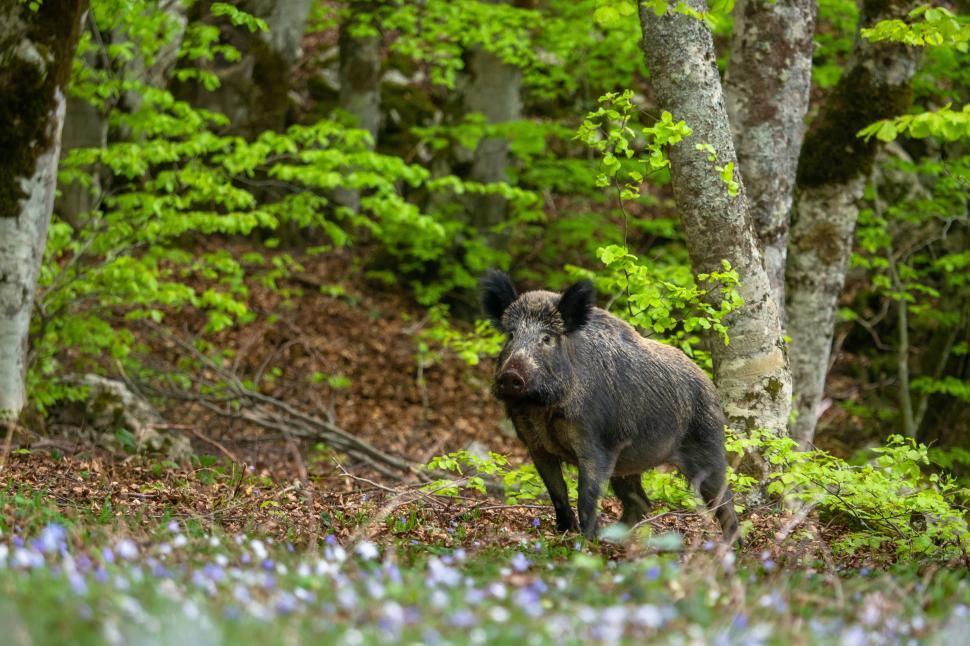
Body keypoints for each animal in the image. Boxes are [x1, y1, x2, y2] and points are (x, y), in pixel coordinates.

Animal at [481, 270, 740, 542]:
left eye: (547, 338)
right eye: (511, 335)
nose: (511, 375)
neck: (543, 409)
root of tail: (710, 385)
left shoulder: (597, 444)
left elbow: (586, 496)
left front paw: (585, 540)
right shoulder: (536, 446)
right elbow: (557, 492)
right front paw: (565, 532)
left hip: (706, 448)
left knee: (725, 500)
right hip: (629, 464)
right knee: (641, 502)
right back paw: (613, 538)